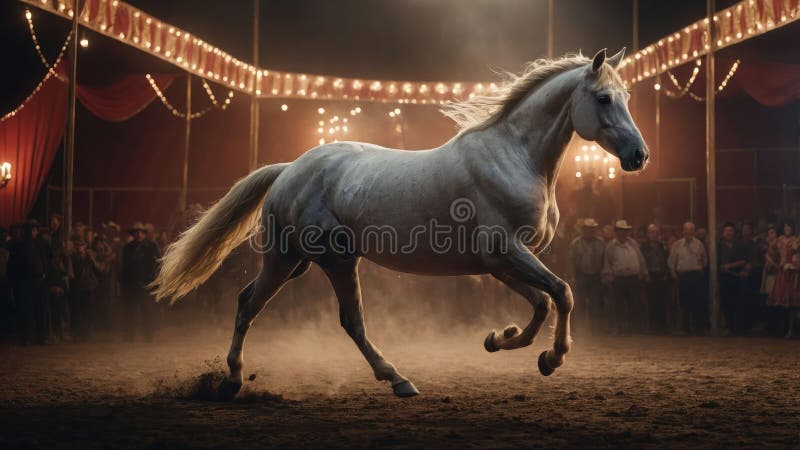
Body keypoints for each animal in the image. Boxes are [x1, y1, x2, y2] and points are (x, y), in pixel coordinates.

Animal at [152, 48, 648, 399]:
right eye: (603, 98)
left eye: (628, 97)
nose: (639, 156)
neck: (515, 158)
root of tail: (290, 168)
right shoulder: (506, 250)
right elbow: (563, 292)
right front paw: (553, 357)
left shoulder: (497, 263)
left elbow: (542, 303)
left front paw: (499, 339)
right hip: (313, 259)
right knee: (307, 314)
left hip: (302, 262)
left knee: (267, 305)